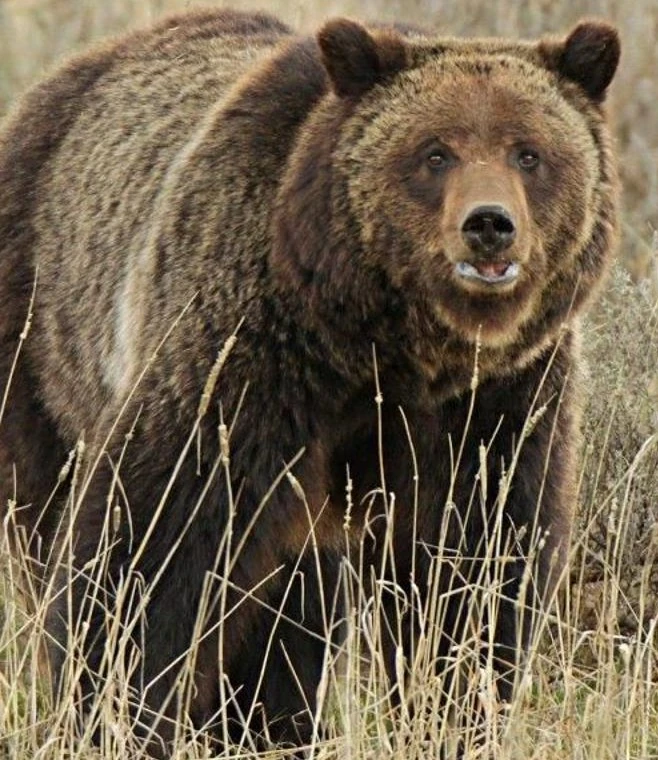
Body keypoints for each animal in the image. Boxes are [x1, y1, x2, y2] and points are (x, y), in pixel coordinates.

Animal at [0, 7, 620, 756]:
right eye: (434, 153)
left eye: (529, 153)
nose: (489, 226)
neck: (388, 350)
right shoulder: (249, 359)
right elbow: (147, 541)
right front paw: (115, 714)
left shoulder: (498, 398)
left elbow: (477, 562)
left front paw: (455, 711)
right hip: (41, 339)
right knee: (46, 511)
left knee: (292, 612)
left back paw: (270, 724)